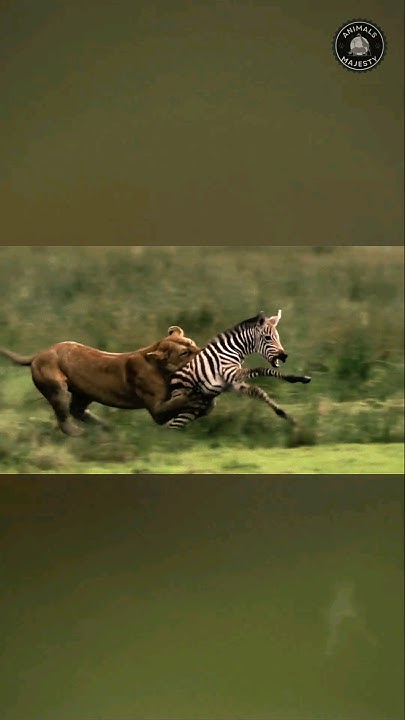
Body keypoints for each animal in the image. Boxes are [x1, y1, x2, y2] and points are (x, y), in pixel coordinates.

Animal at [0, 326, 204, 437]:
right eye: (184, 353)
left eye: (192, 343)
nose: (203, 350)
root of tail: (39, 354)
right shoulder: (156, 410)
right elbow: (175, 404)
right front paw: (192, 397)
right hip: (58, 389)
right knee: (64, 417)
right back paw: (79, 433)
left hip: (83, 393)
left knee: (77, 410)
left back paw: (105, 427)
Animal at [166, 310, 311, 429]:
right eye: (267, 338)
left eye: (278, 337)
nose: (284, 356)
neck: (233, 350)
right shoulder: (230, 373)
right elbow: (263, 369)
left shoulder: (233, 383)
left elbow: (258, 391)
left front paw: (284, 413)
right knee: (173, 427)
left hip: (196, 408)